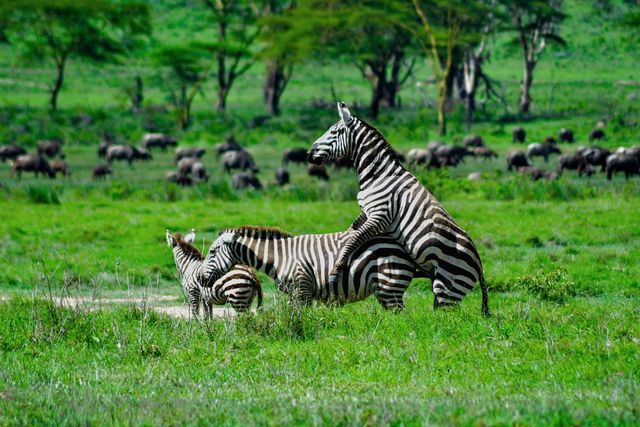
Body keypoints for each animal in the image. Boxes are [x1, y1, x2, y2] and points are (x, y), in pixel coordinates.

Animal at [201, 226, 424, 310]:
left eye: (211, 252)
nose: (201, 279)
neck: (281, 258)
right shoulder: (297, 293)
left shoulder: (302, 290)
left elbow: (300, 320)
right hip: (385, 290)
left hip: (389, 284)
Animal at [307, 102, 489, 315]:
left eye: (334, 132)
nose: (309, 154)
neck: (379, 174)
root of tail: (479, 264)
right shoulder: (367, 212)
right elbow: (351, 231)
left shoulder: (380, 216)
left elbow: (353, 239)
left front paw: (336, 269)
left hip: (447, 286)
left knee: (448, 317)